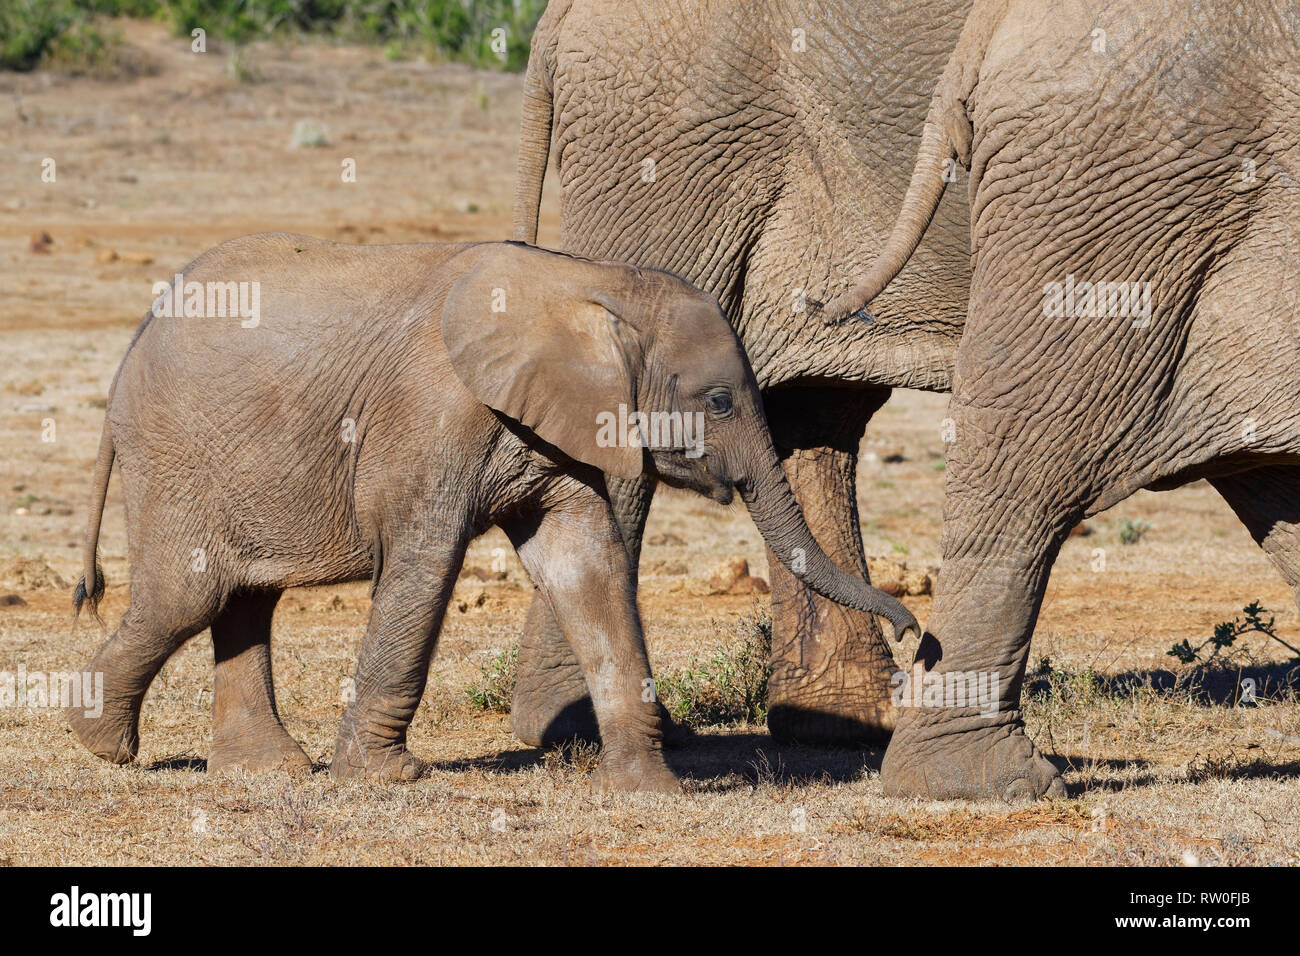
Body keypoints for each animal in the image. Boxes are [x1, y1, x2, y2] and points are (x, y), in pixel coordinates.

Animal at [66, 235, 917, 792]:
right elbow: (424, 562)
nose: (916, 638)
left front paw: (644, 788)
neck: (590, 284)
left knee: (243, 599)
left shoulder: (555, 423)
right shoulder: (434, 413)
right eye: (717, 401)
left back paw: (267, 770)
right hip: (175, 453)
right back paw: (99, 742)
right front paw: (390, 778)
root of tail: (132, 344)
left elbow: (586, 564)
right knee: (191, 594)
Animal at [510, 0, 973, 749]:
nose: (918, 632)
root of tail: (559, 14)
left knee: (818, 416)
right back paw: (581, 727)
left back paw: (851, 719)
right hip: (672, 149)